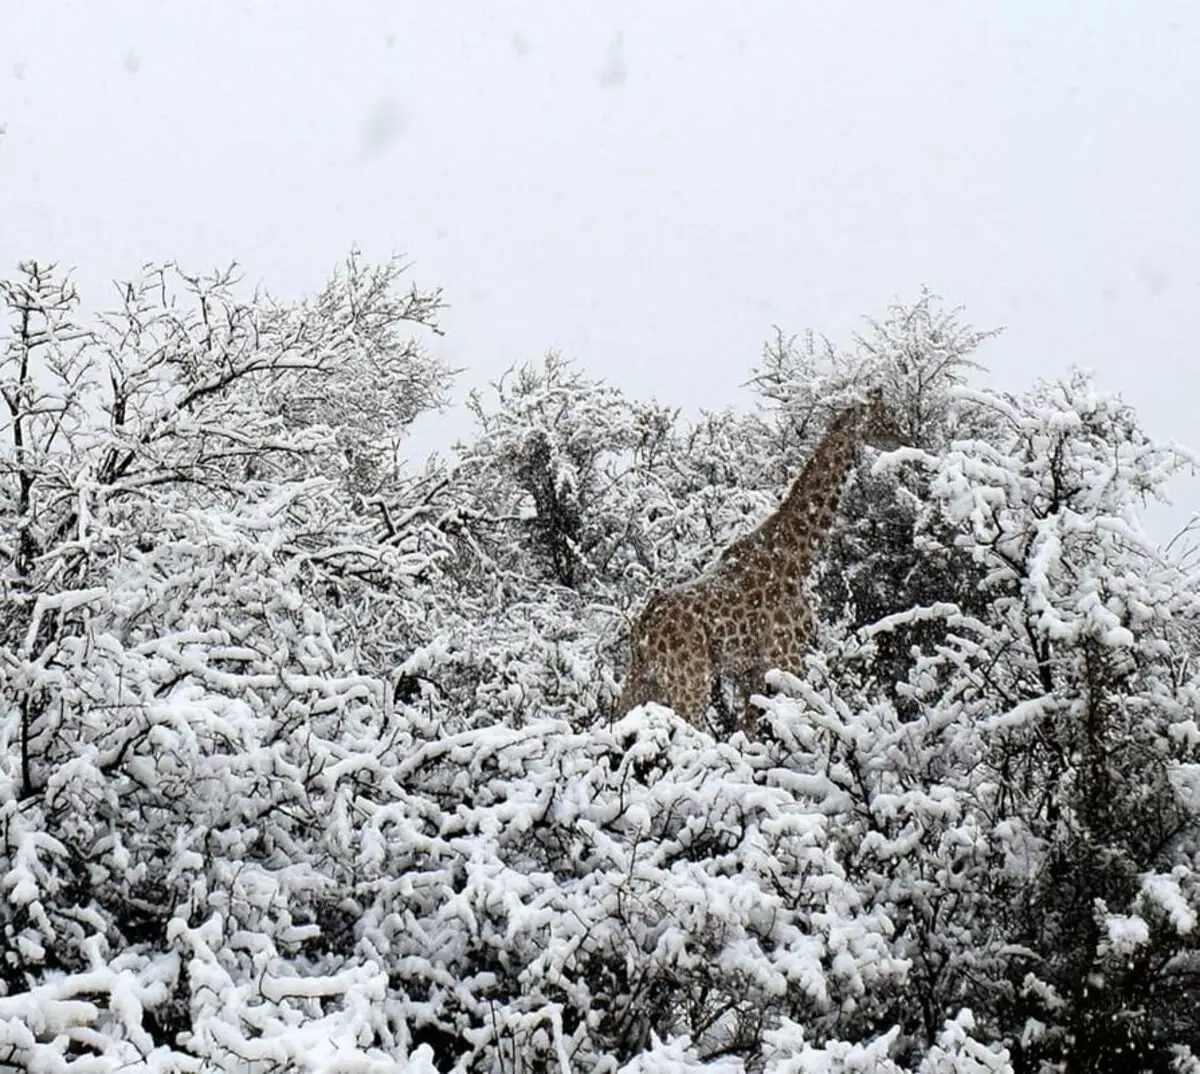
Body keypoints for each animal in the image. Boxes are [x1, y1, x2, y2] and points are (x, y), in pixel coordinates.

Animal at [619, 393, 902, 739]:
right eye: (885, 418)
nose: (905, 438)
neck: (797, 559)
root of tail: (643, 627)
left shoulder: (750, 669)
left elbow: (747, 731)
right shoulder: (787, 655)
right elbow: (805, 719)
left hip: (644, 679)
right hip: (690, 679)